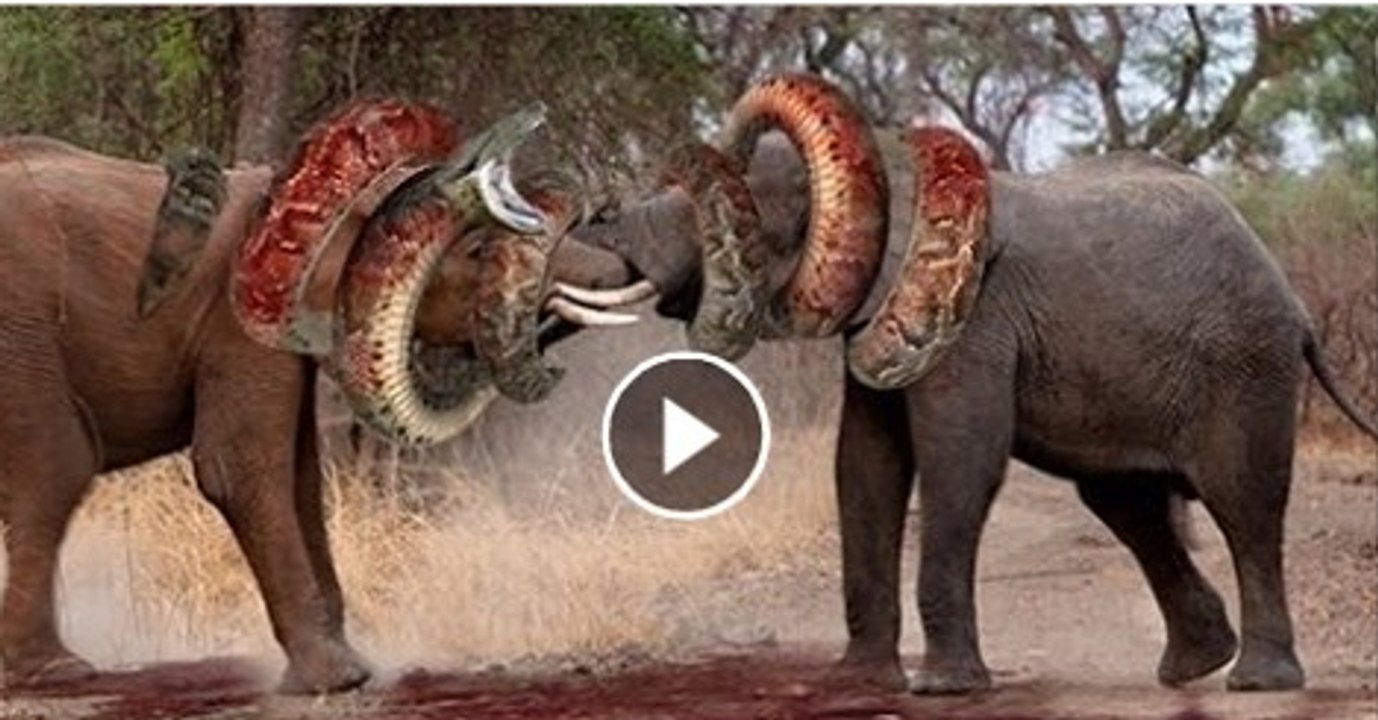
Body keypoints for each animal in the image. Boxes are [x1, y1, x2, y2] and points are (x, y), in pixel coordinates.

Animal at [0, 109, 640, 691]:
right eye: (479, 250)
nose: (623, 259)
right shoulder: (241, 320)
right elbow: (240, 468)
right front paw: (337, 680)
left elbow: (301, 475)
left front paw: (351, 667)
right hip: (22, 328)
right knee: (57, 467)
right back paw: (53, 671)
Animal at [572, 74, 1378, 694]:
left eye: (743, 211)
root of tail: (1298, 303)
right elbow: (864, 465)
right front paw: (857, 681)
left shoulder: (975, 317)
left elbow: (959, 457)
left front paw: (943, 689)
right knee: (1126, 504)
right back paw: (1193, 667)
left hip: (1247, 364)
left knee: (1244, 505)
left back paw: (1258, 682)